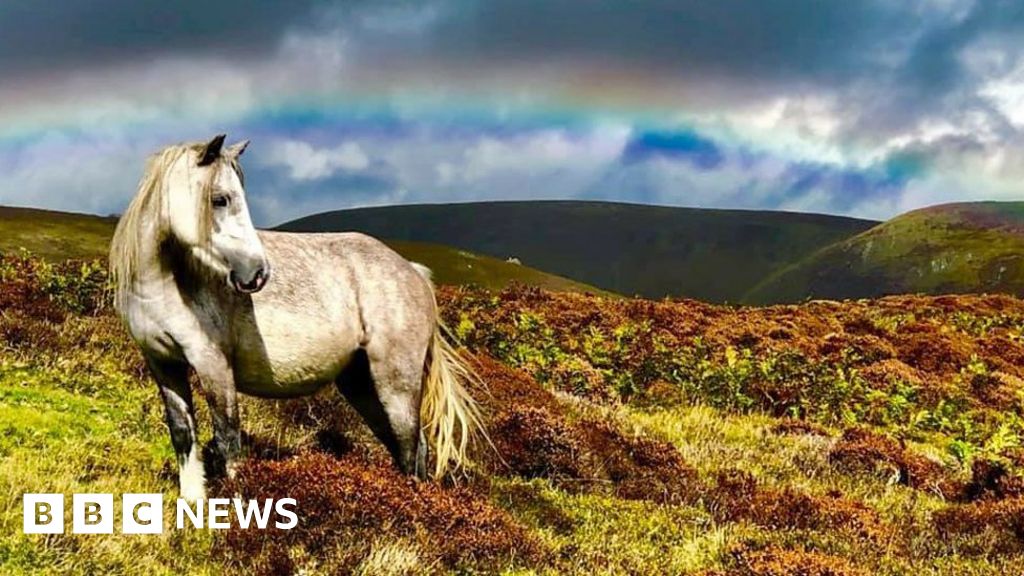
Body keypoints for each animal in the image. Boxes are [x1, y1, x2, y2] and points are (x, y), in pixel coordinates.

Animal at [109, 134, 482, 501]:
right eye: (220, 199)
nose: (258, 273)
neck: (167, 284)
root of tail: (414, 272)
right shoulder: (163, 363)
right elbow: (183, 436)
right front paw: (193, 503)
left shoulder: (213, 365)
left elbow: (229, 443)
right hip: (360, 383)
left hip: (396, 382)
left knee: (410, 446)